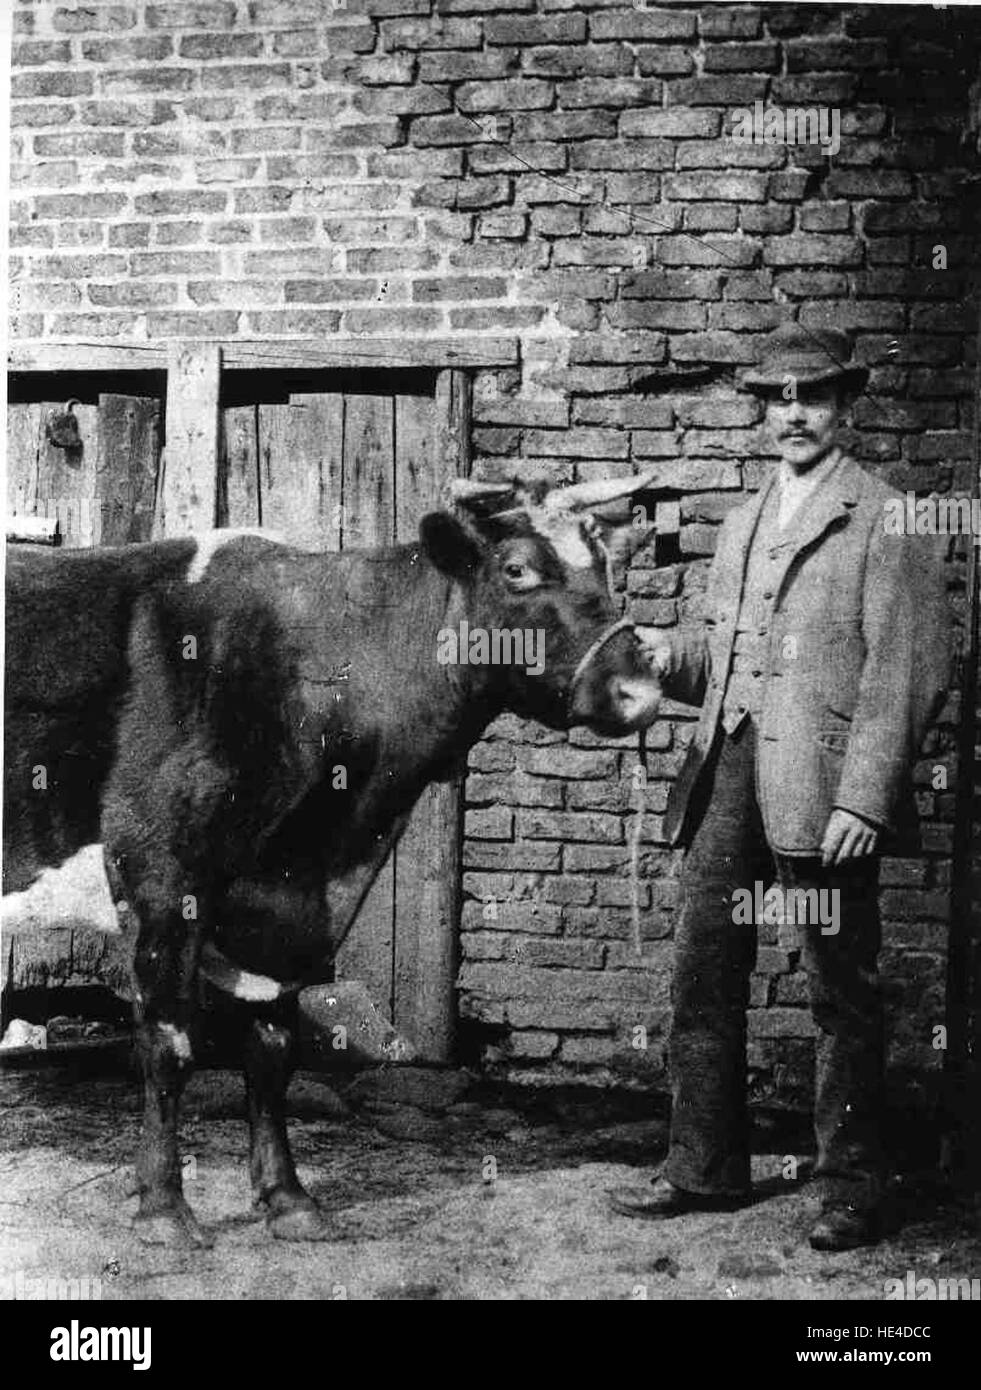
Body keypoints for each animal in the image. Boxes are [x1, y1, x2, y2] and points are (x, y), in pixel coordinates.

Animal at [3, 472, 664, 1246]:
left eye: (610, 567)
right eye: (516, 569)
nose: (640, 688)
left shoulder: (298, 905)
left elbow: (274, 1048)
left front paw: (288, 1199)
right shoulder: (158, 866)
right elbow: (170, 1042)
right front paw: (165, 1209)